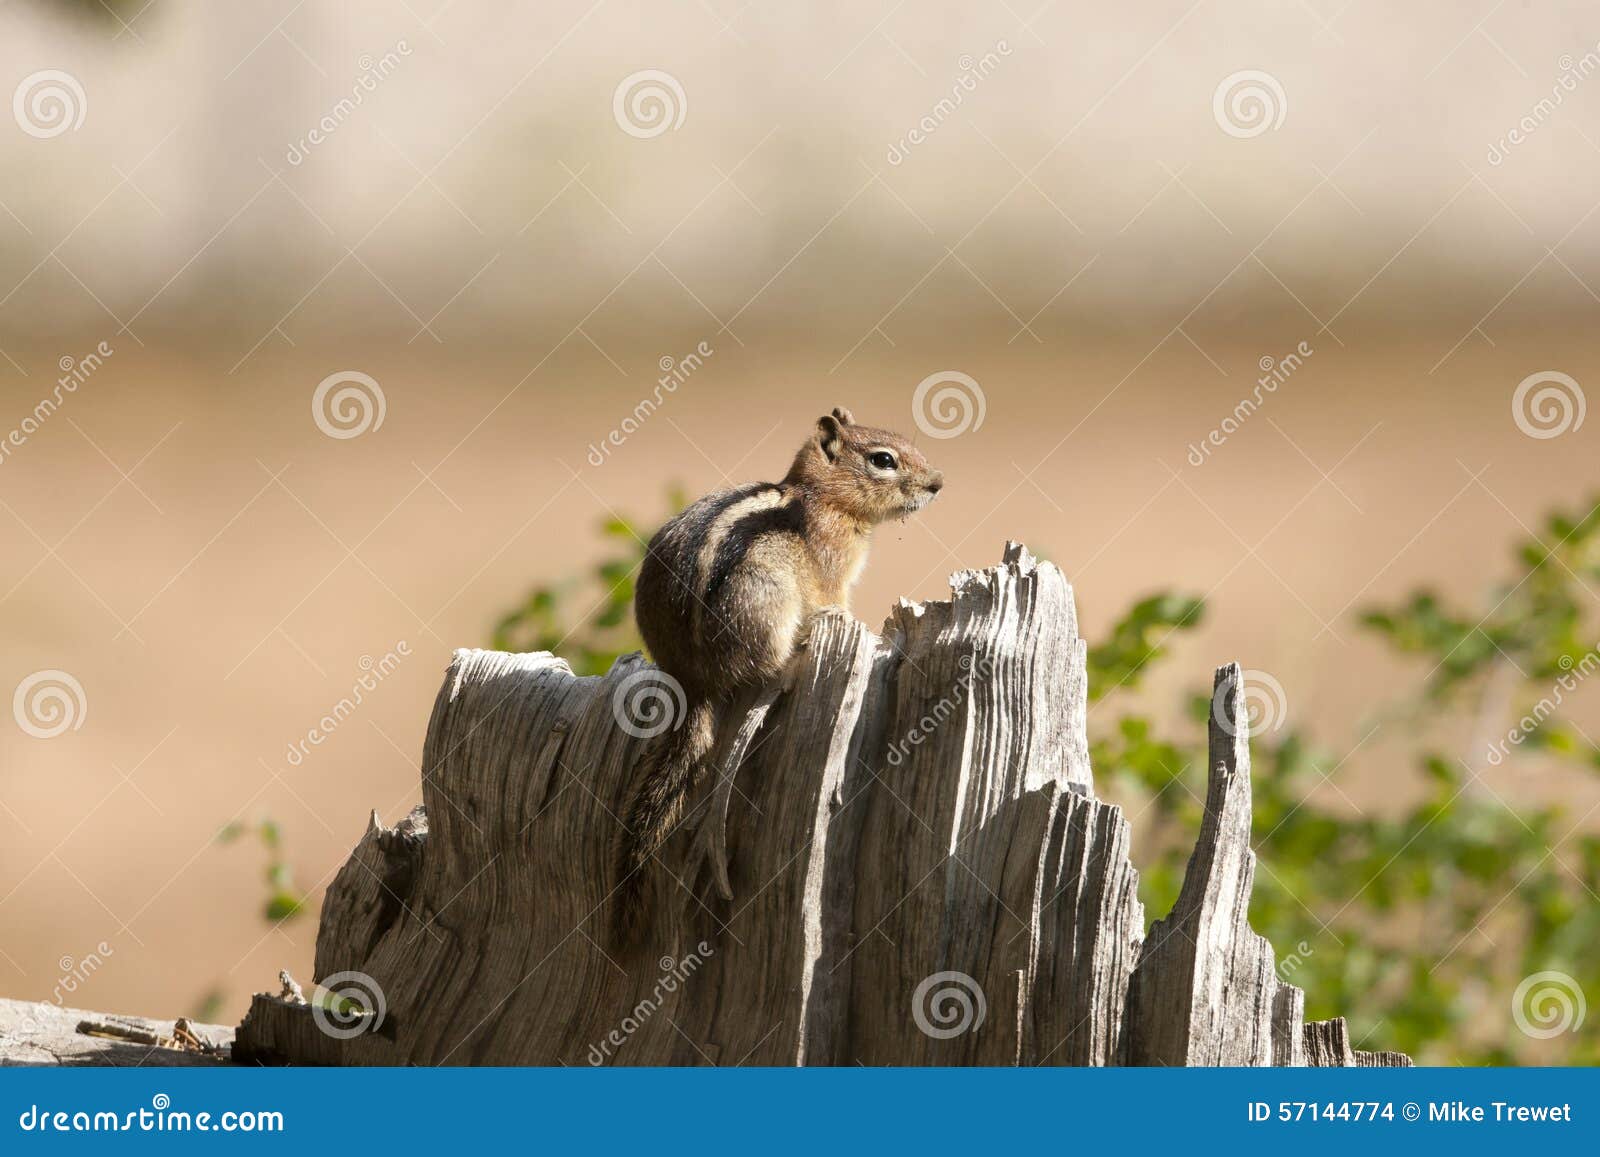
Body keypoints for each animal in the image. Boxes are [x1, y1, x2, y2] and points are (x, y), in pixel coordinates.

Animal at [612, 407, 945, 948]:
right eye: (883, 460)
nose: (937, 483)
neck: (822, 496)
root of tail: (692, 682)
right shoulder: (833, 567)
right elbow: (836, 598)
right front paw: (847, 620)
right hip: (766, 602)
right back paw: (792, 663)